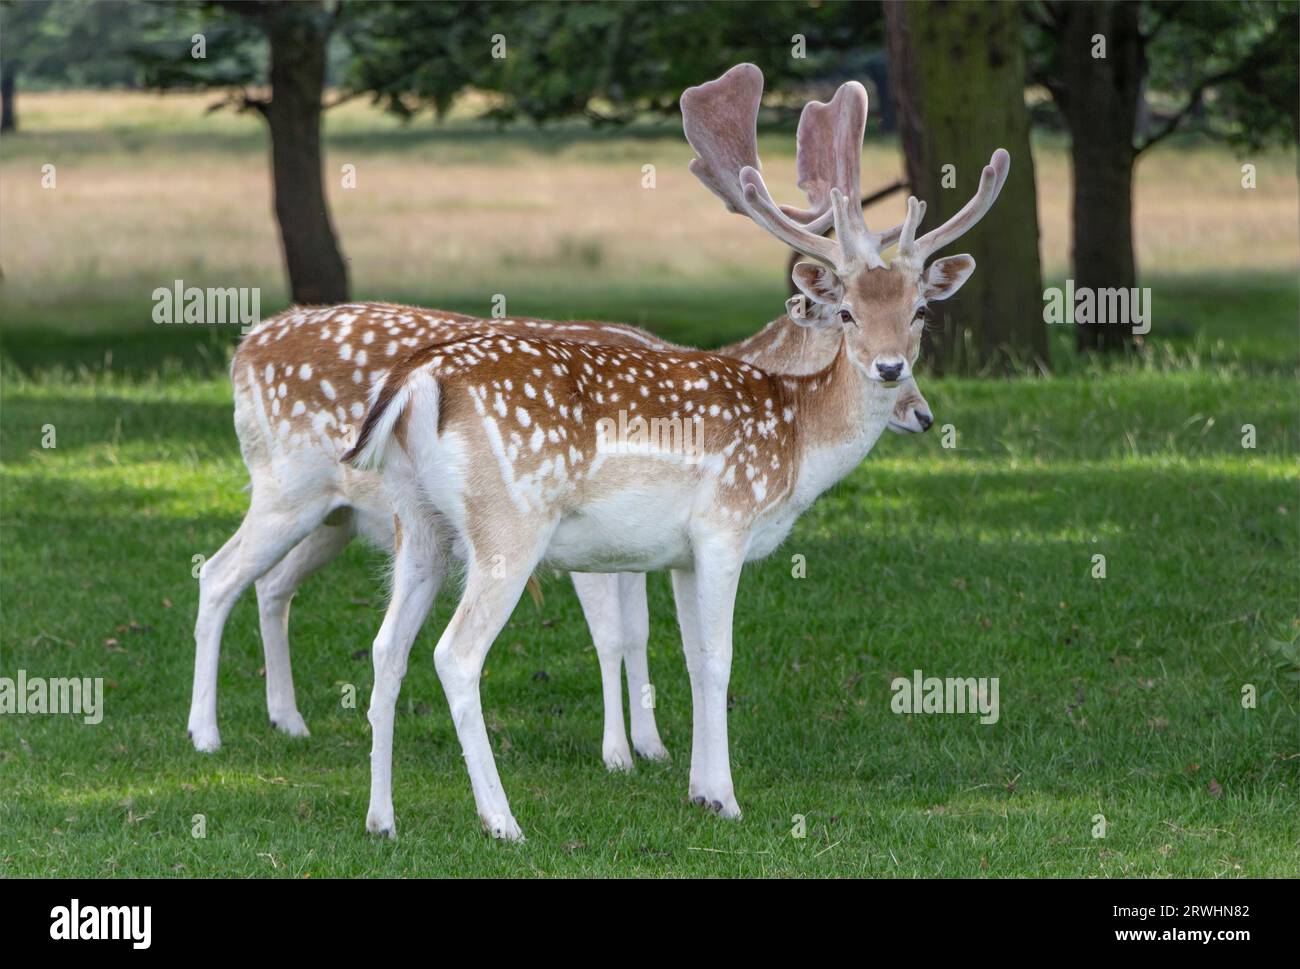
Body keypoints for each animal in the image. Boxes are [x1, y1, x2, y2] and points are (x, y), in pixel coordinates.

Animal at [186, 69, 934, 768]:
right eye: (842, 315)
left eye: (921, 313)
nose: (919, 408)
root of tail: (246, 346)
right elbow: (616, 635)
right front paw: (622, 753)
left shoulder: (644, 547)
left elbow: (643, 633)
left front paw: (654, 747)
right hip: (288, 485)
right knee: (220, 574)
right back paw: (205, 732)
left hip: (340, 516)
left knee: (273, 585)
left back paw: (289, 719)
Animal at [342, 62, 1010, 840]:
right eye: (845, 312)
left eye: (919, 311)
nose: (893, 373)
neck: (796, 439)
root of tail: (418, 380)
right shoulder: (724, 522)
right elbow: (719, 658)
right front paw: (724, 797)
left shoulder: (682, 555)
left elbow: (690, 656)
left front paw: (696, 788)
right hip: (508, 521)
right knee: (455, 653)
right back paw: (502, 821)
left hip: (418, 522)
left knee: (386, 648)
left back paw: (381, 819)